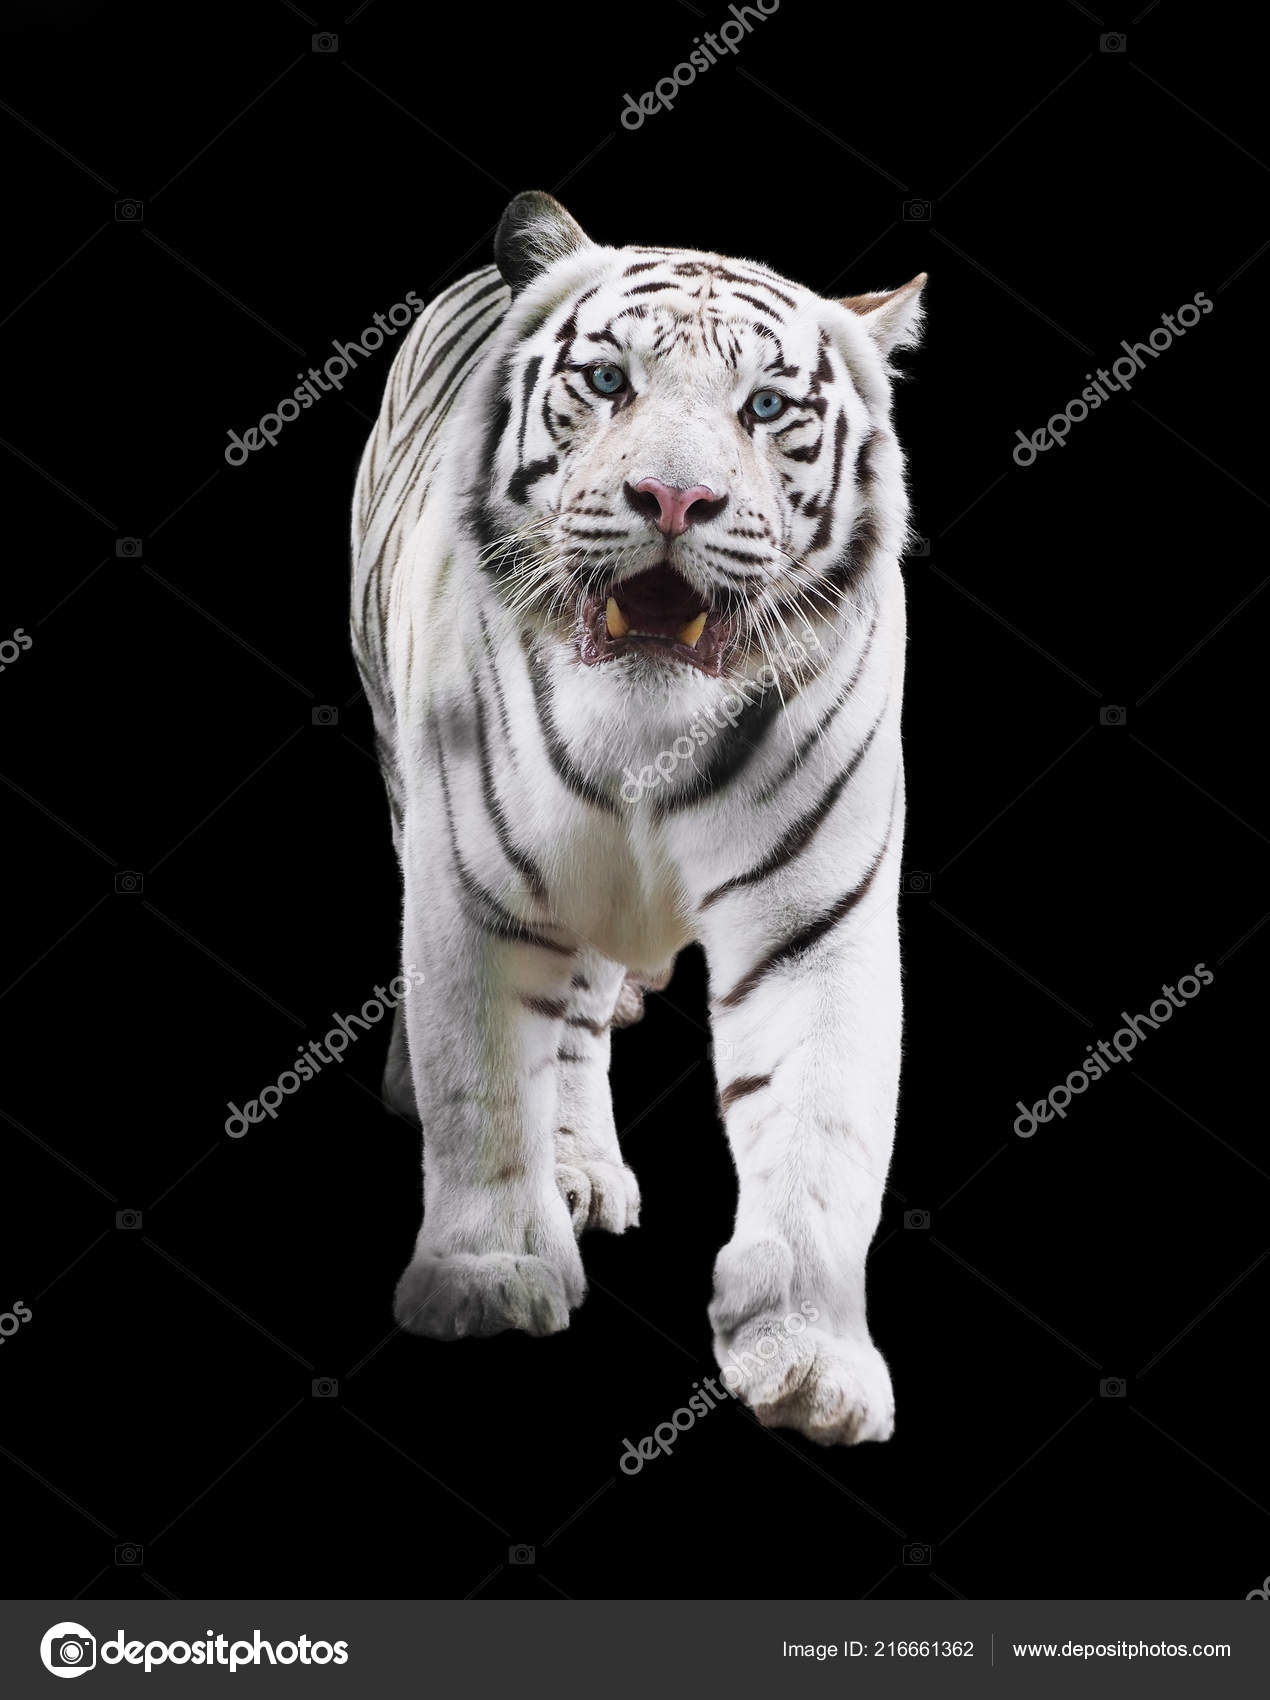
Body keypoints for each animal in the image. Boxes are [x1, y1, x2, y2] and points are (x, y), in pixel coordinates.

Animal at [350, 192, 924, 1446]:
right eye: (609, 381)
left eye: (766, 407)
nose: (674, 498)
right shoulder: (477, 882)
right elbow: (487, 1089)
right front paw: (489, 1279)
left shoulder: (816, 919)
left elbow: (818, 1130)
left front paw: (811, 1363)